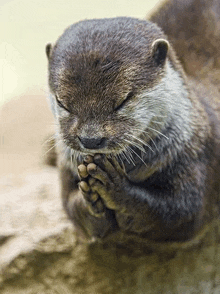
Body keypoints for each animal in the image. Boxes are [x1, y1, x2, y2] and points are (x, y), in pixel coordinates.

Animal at [46, 0, 220, 243]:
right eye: (62, 103)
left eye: (122, 100)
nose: (90, 139)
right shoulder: (67, 168)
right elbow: (74, 210)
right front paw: (90, 198)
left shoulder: (198, 156)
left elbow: (181, 214)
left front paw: (115, 187)